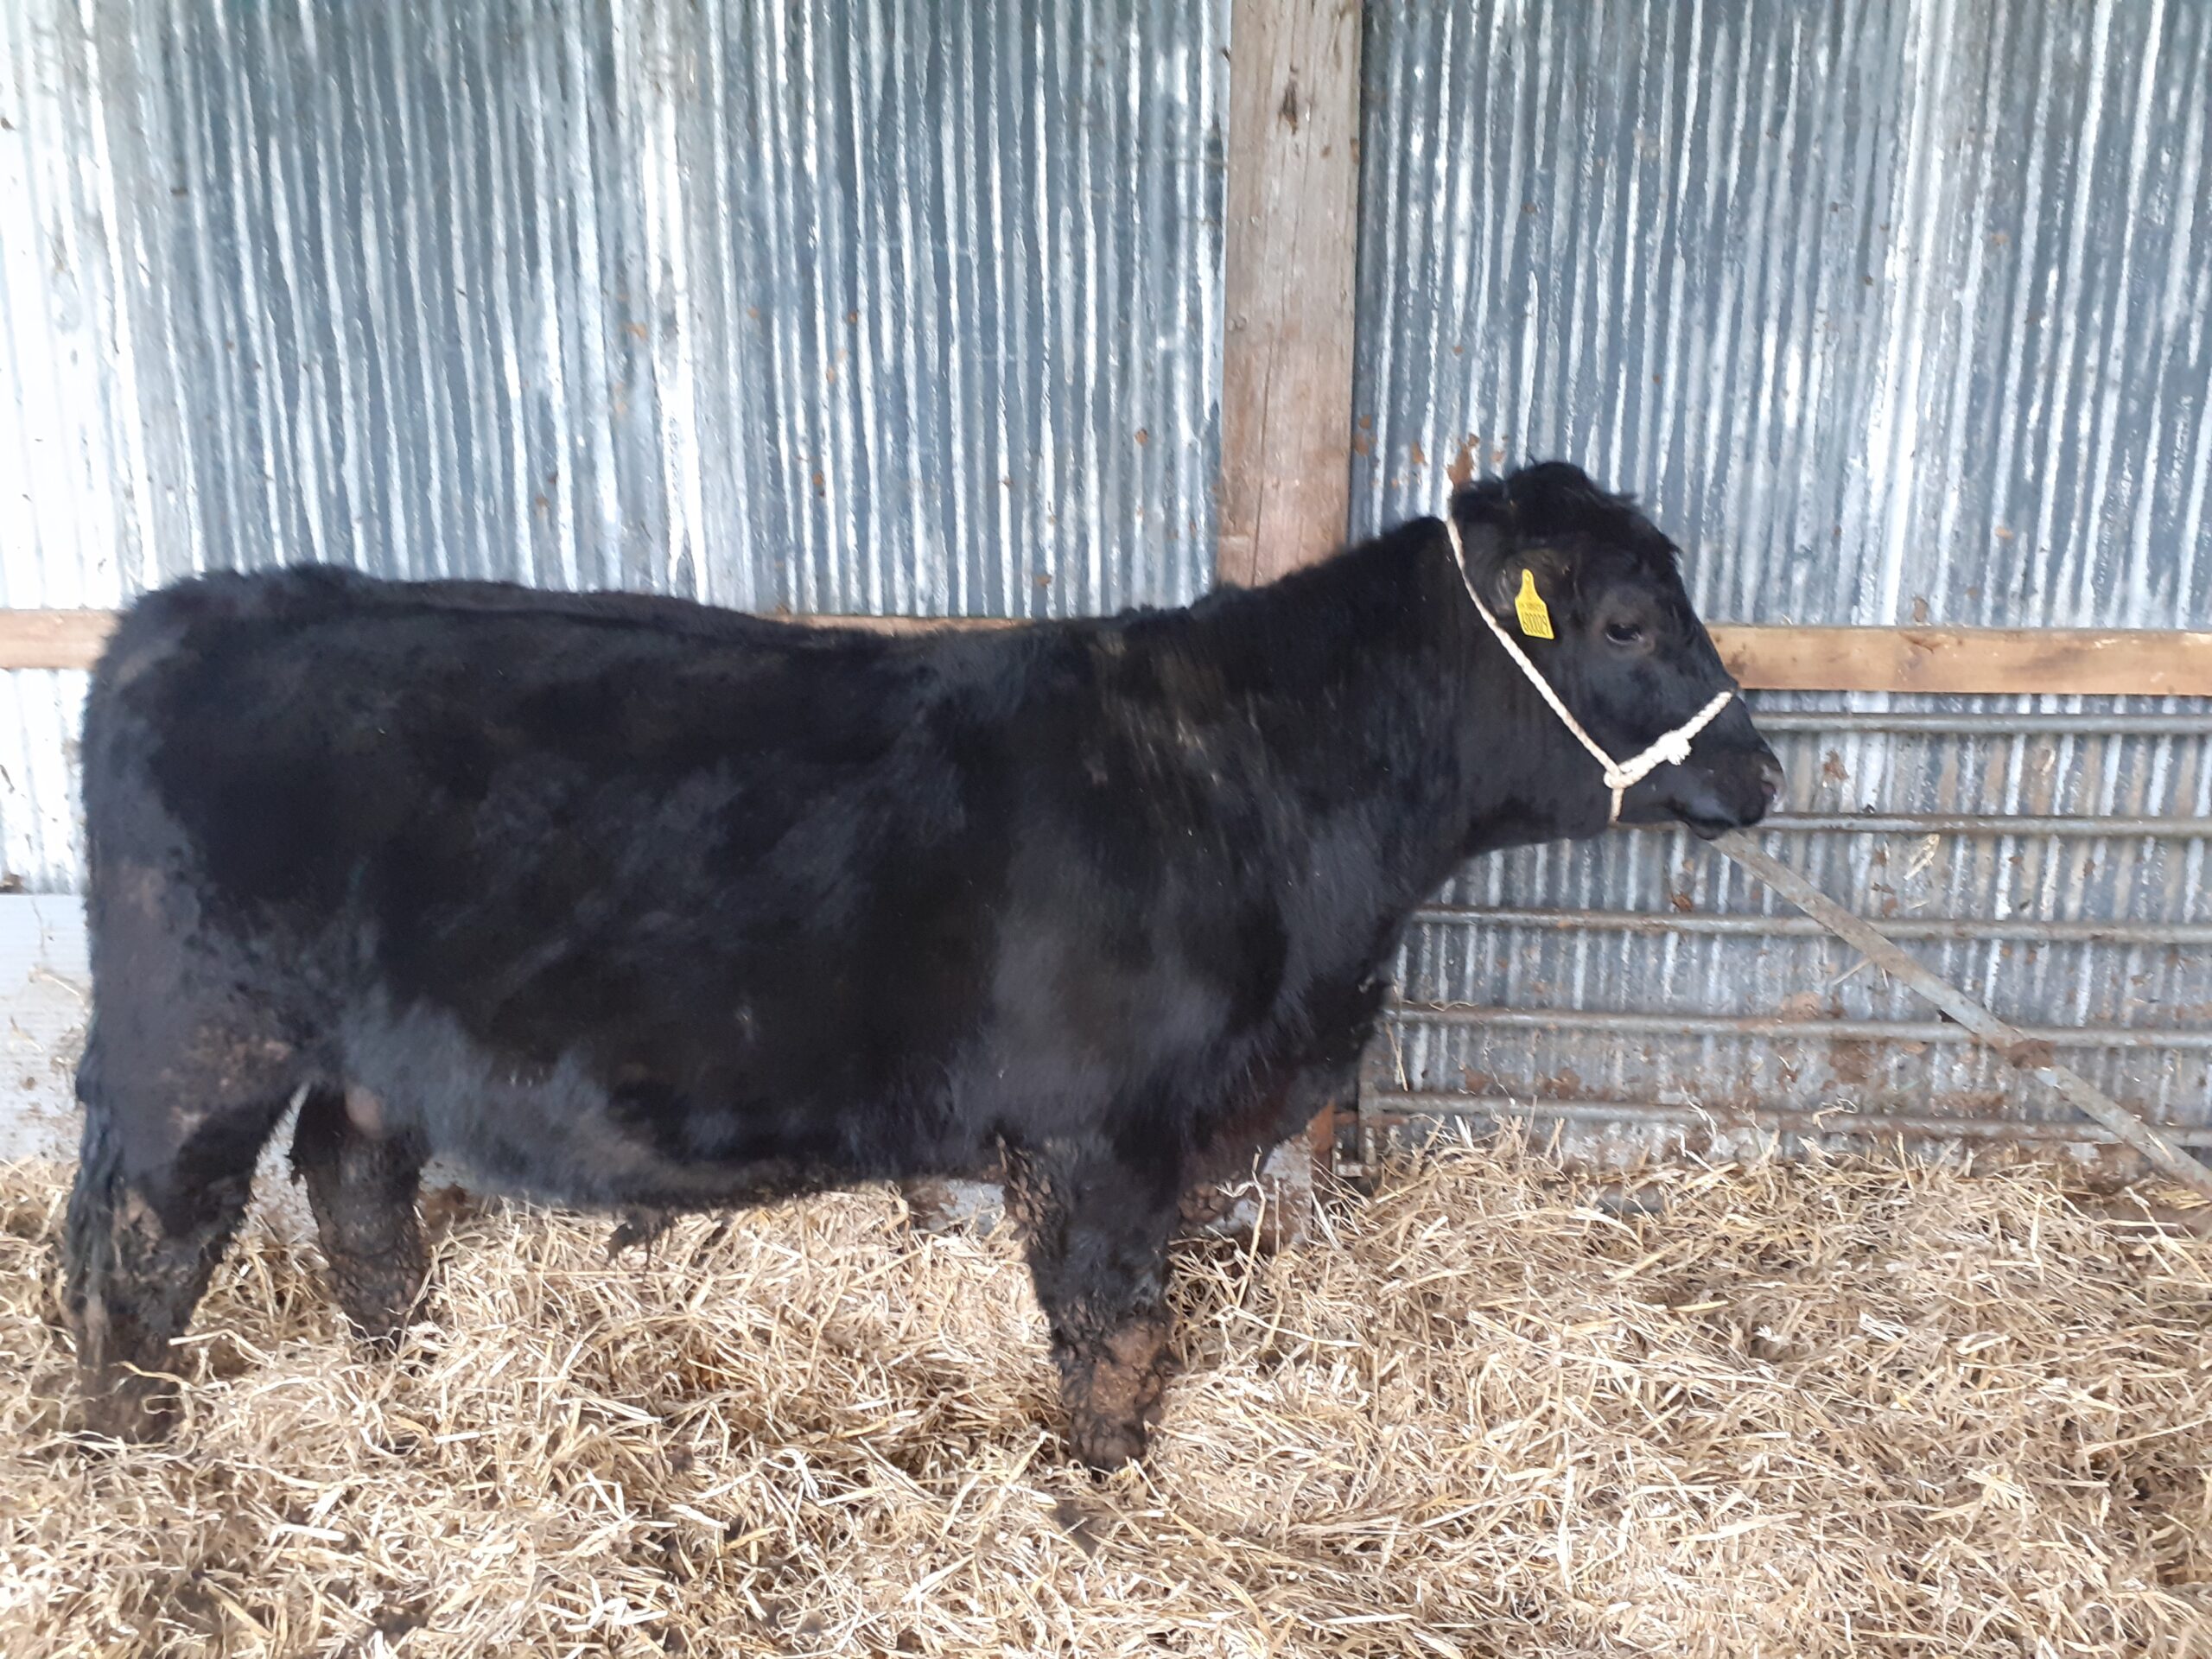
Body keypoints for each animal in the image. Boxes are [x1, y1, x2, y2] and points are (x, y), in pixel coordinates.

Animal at [61, 460, 1782, 1467]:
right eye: (1627, 621)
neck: (1259, 780)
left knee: (352, 1185)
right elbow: (1116, 1328)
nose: (1763, 772)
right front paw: (1103, 1496)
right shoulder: (1100, 1132)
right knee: (143, 1246)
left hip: (363, 1044)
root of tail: (183, 614)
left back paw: (408, 1375)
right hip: (197, 1033)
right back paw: (136, 1450)